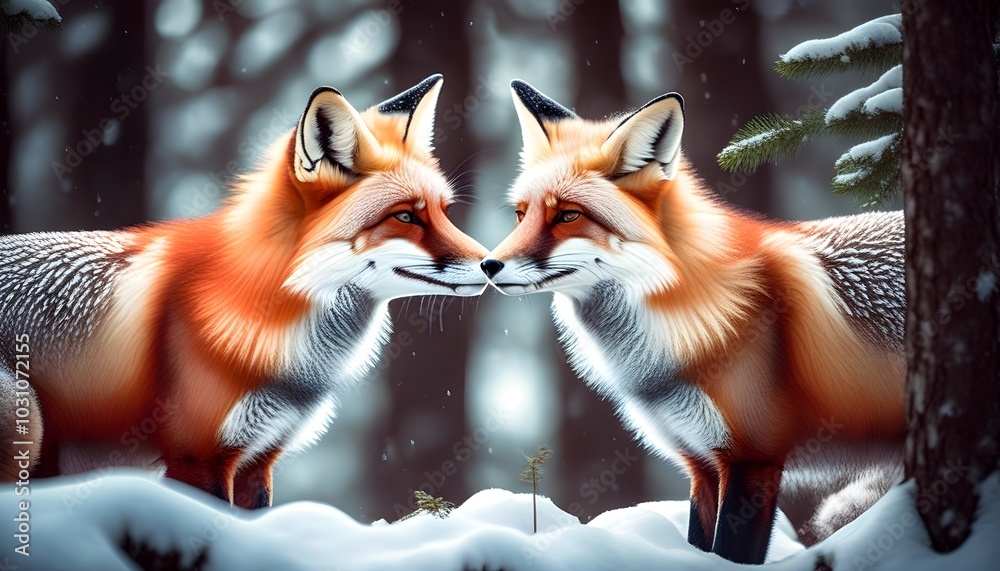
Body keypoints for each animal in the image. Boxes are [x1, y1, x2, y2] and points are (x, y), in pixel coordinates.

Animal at [0, 74, 489, 508]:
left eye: (444, 212)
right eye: (405, 217)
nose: (490, 264)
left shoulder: (260, 458)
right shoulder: (198, 457)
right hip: (27, 428)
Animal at [481, 80, 905, 564]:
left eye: (568, 215)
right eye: (521, 215)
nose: (488, 265)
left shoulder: (754, 458)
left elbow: (731, 552)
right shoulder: (700, 462)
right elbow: (699, 545)